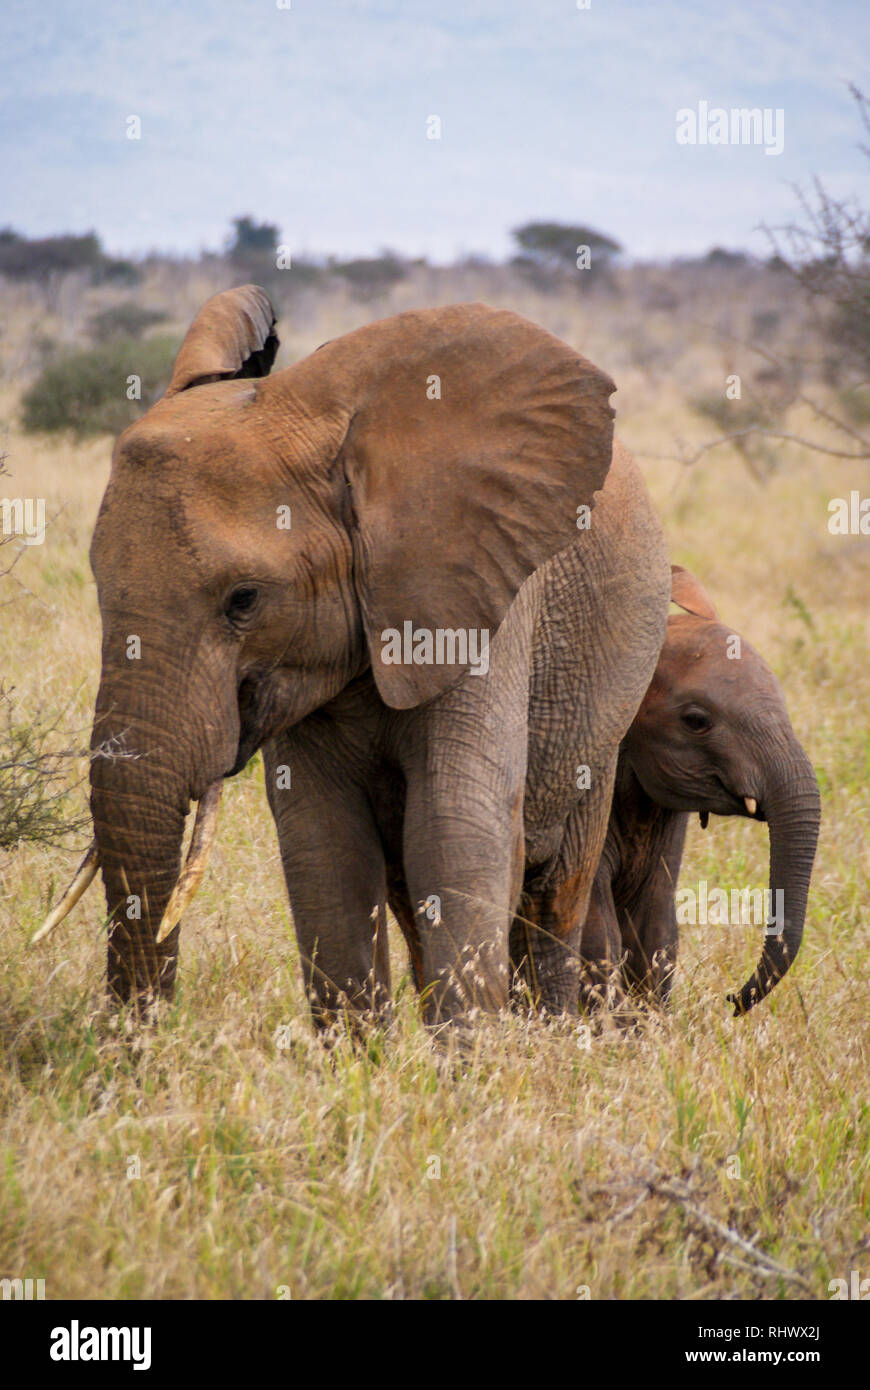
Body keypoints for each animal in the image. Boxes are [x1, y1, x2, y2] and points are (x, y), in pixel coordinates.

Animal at [36, 285, 673, 1032]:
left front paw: (472, 1058)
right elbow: (325, 846)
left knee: (553, 886)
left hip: (604, 706)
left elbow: (456, 830)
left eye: (244, 600)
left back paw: (548, 1031)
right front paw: (362, 1055)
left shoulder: (477, 596)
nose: (137, 1045)